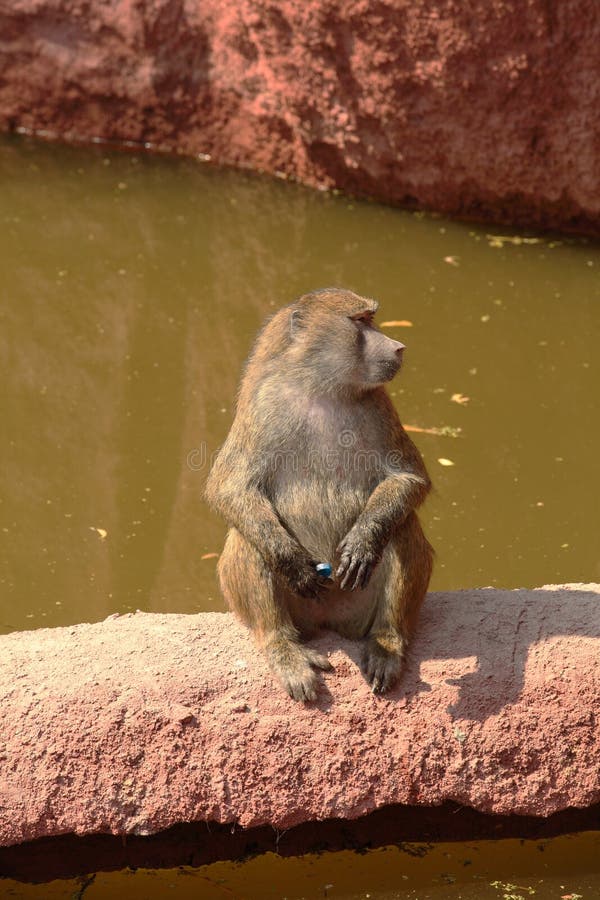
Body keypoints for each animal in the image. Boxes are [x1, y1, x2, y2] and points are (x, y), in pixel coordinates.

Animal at [205, 288, 433, 702]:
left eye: (372, 319)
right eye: (361, 321)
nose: (398, 347)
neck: (320, 389)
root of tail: (328, 621)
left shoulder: (381, 404)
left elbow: (409, 478)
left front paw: (363, 542)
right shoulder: (263, 404)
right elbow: (229, 486)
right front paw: (292, 562)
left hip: (358, 609)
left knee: (403, 525)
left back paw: (387, 644)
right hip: (298, 611)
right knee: (248, 538)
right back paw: (283, 649)